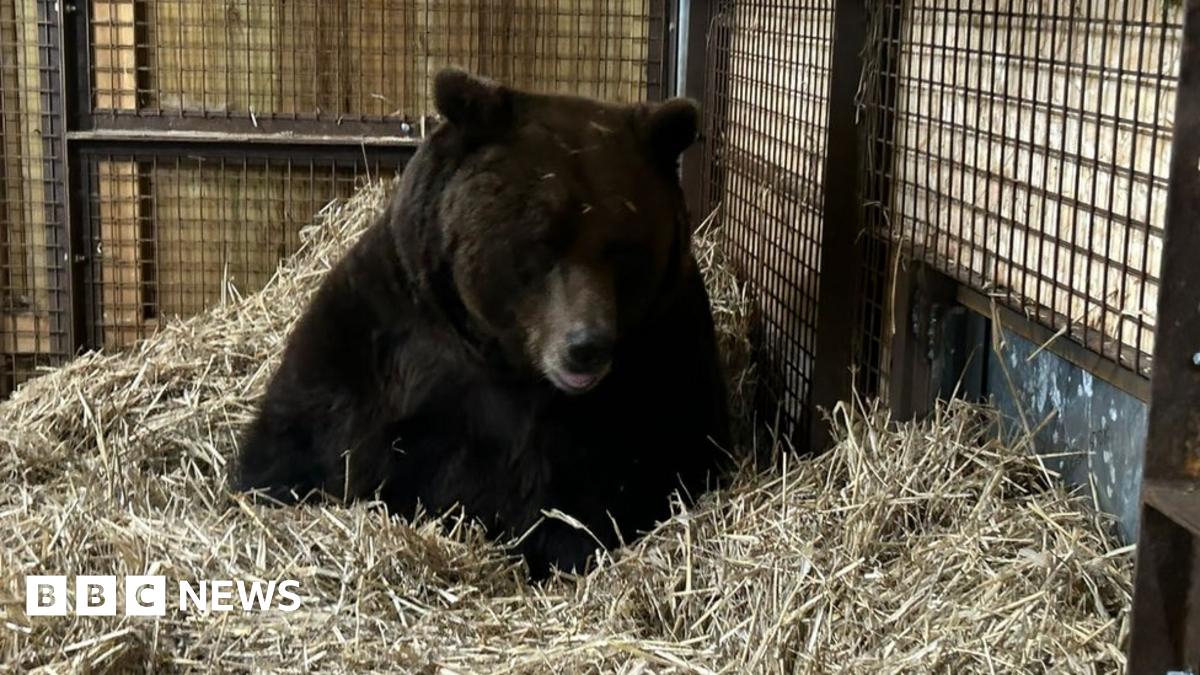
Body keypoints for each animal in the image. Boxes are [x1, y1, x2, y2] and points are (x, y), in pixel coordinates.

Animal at [230, 67, 732, 579]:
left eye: (624, 248)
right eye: (543, 241)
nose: (586, 346)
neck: (506, 361)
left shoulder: (664, 360)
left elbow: (631, 476)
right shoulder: (383, 330)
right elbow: (299, 441)